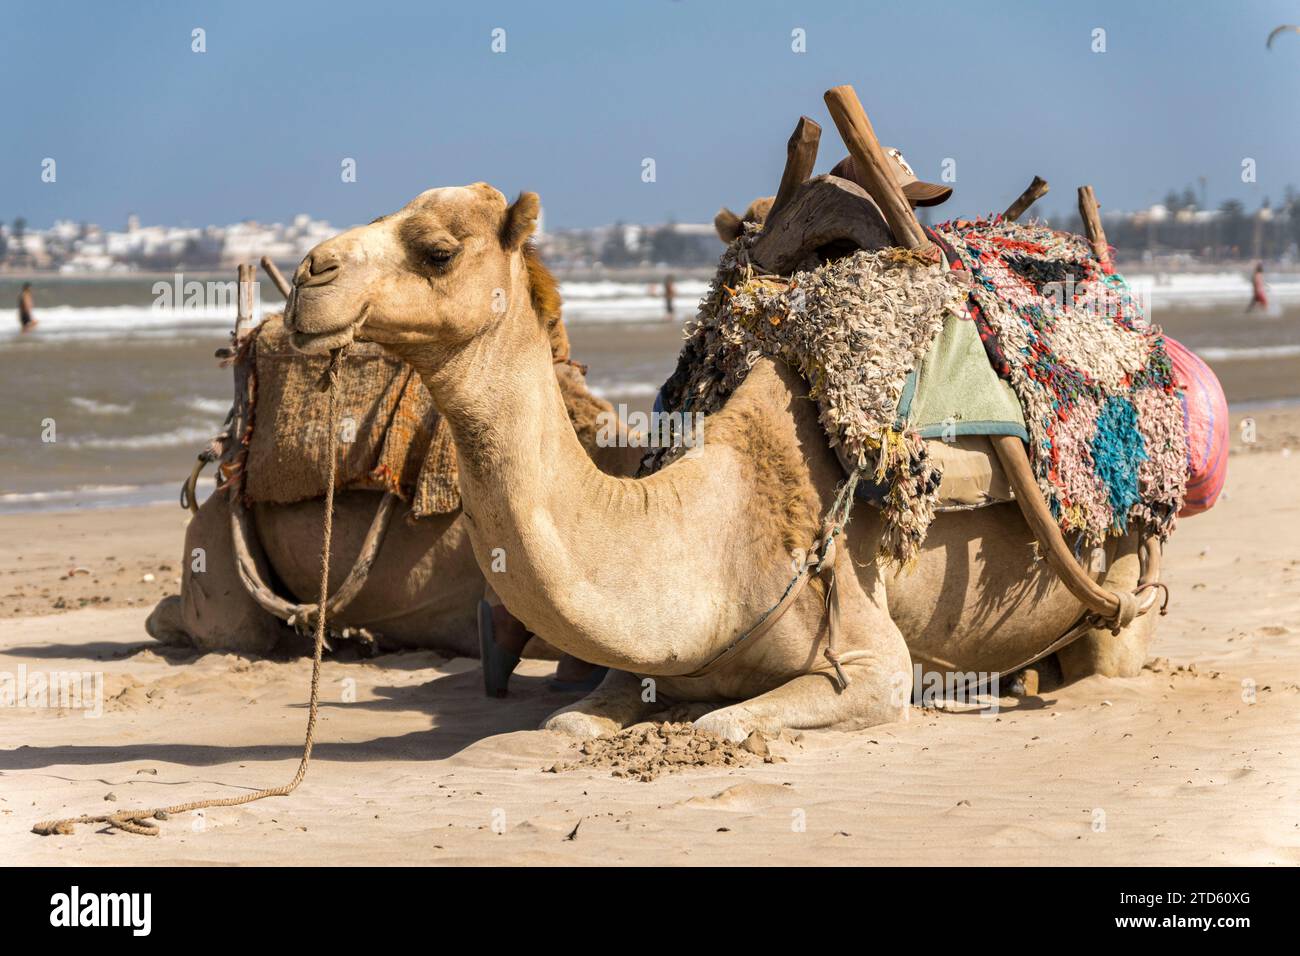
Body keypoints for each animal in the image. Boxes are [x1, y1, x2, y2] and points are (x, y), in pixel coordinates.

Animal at [281, 177, 1166, 743]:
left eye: (436, 250)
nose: (307, 274)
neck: (713, 531)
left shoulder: (867, 651)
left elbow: (725, 724)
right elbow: (568, 724)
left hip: (1124, 570)